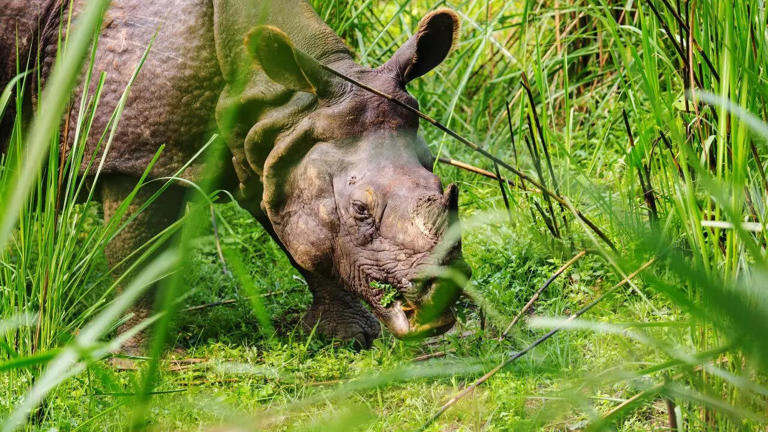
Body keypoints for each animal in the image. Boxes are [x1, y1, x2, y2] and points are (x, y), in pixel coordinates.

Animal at [0, 0, 471, 348]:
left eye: (439, 180)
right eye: (360, 210)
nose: (442, 294)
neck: (279, 97)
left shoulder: (274, 143)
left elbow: (296, 233)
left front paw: (345, 338)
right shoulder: (132, 158)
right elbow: (138, 259)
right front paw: (140, 358)